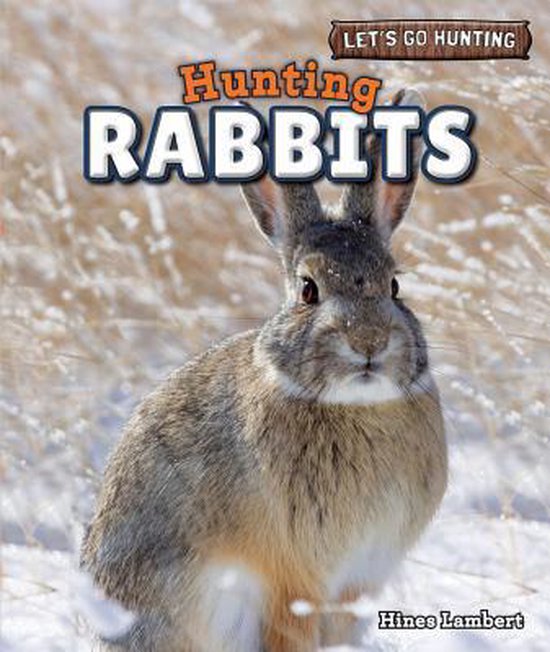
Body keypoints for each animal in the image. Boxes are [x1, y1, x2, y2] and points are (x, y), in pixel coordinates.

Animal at [81, 88, 447, 652]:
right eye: (308, 290)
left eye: (395, 285)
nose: (368, 343)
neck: (357, 406)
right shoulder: (296, 578)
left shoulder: (356, 581)